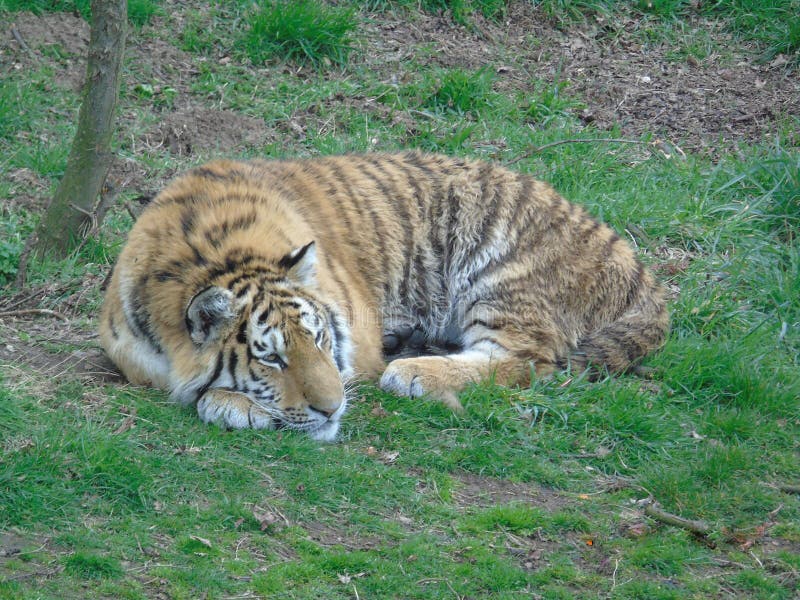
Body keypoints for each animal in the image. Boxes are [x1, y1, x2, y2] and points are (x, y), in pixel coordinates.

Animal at [99, 151, 669, 441]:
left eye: (319, 339)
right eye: (271, 359)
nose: (332, 410)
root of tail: (623, 248)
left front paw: (227, 403)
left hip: (500, 272)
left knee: (529, 359)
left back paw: (415, 370)